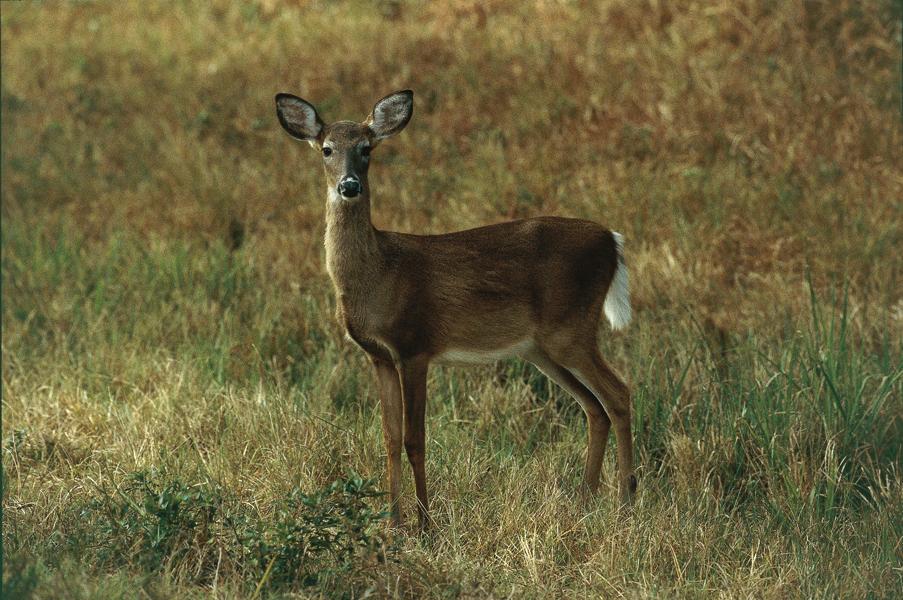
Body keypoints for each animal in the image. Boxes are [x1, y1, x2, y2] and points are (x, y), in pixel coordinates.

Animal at [275, 89, 636, 531]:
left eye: (366, 148)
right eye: (327, 149)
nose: (349, 186)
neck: (379, 275)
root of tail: (612, 240)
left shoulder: (414, 345)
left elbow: (415, 438)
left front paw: (426, 524)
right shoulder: (378, 356)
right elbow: (389, 438)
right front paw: (393, 524)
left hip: (571, 329)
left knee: (618, 394)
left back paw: (625, 502)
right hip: (542, 348)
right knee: (594, 407)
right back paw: (585, 501)